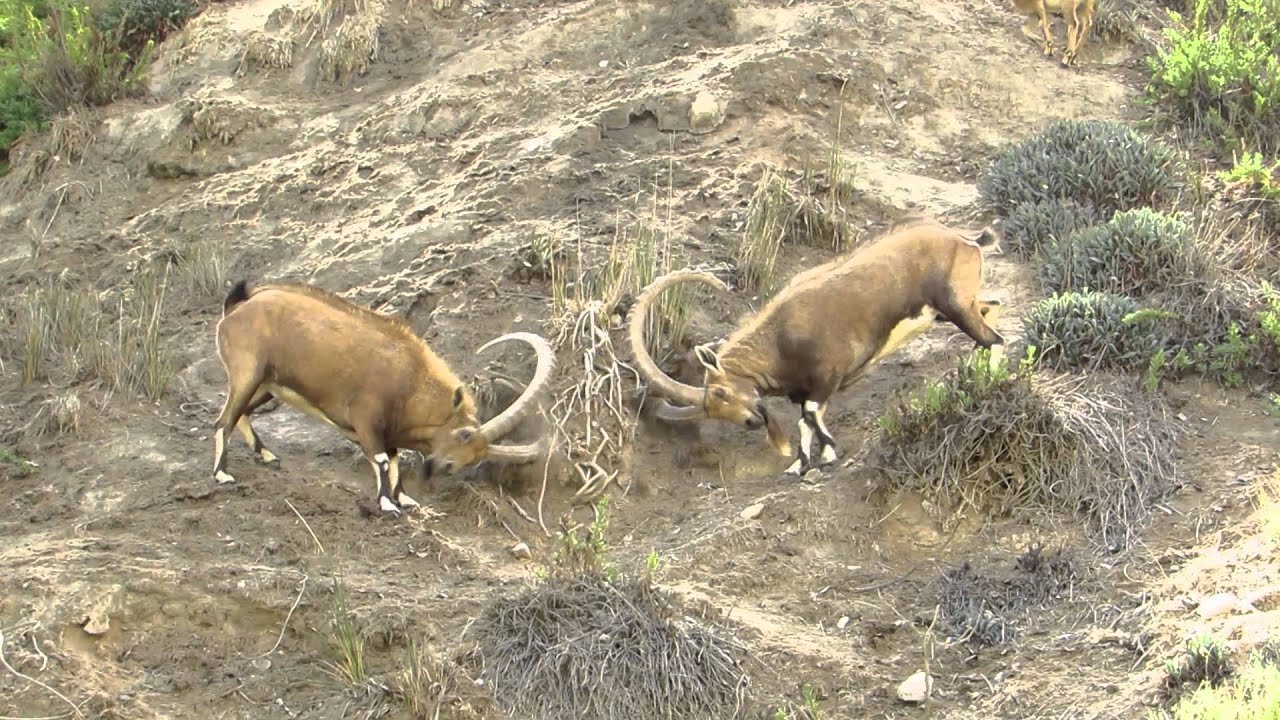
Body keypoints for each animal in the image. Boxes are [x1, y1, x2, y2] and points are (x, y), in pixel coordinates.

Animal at [212, 280, 556, 515]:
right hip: (247, 373)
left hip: (267, 386)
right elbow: (379, 459)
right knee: (223, 420)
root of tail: (236, 308)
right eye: (462, 434)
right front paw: (387, 505)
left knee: (242, 414)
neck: (412, 382)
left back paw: (266, 455)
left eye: (475, 455)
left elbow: (393, 460)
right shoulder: (366, 417)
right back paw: (222, 474)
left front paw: (404, 498)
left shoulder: (388, 432)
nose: (438, 468)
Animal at [628, 218, 1005, 476]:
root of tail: (965, 240)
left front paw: (828, 453)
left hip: (955, 306)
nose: (751, 421)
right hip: (956, 309)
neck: (780, 341)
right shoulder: (806, 388)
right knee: (993, 310)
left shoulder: (828, 373)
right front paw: (801, 464)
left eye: (720, 392)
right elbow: (804, 421)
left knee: (995, 339)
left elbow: (810, 413)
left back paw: (989, 376)